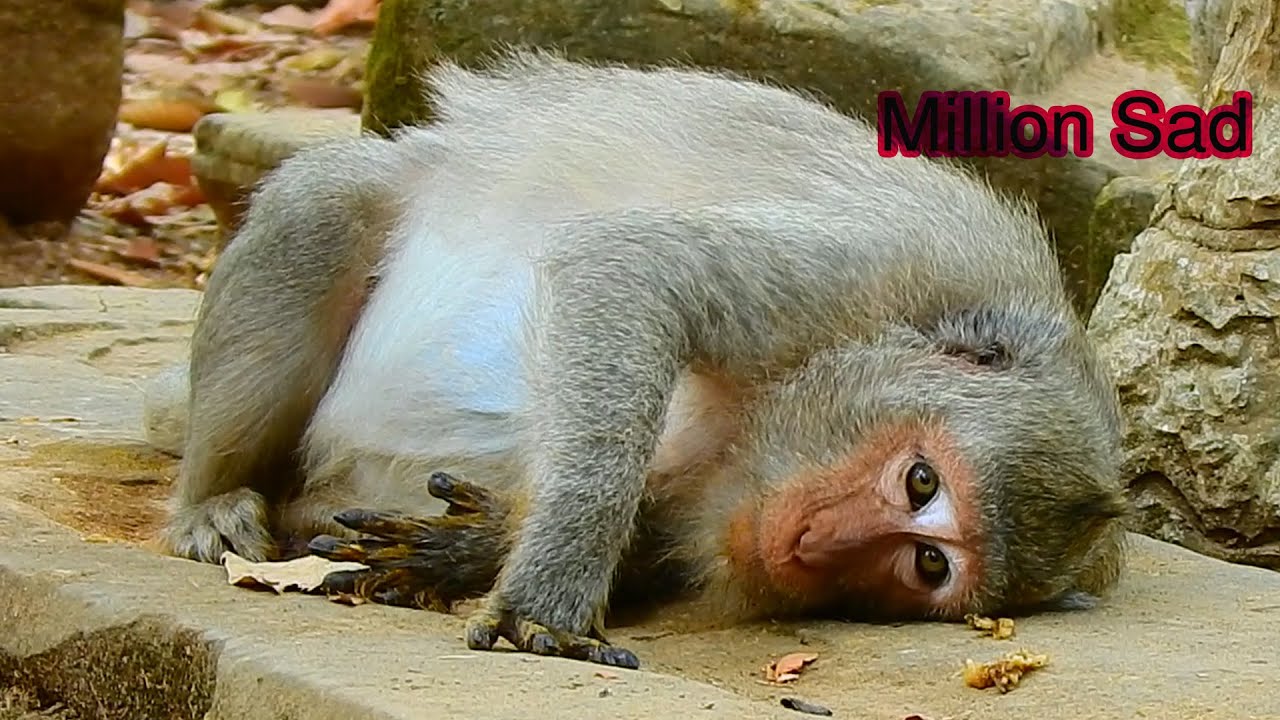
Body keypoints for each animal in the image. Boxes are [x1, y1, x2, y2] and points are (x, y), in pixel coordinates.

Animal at [147, 51, 1129, 670]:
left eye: (928, 567)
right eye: (920, 482)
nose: (818, 543)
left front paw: (475, 550)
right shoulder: (885, 269)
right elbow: (628, 269)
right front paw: (544, 595)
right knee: (324, 208)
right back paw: (211, 500)